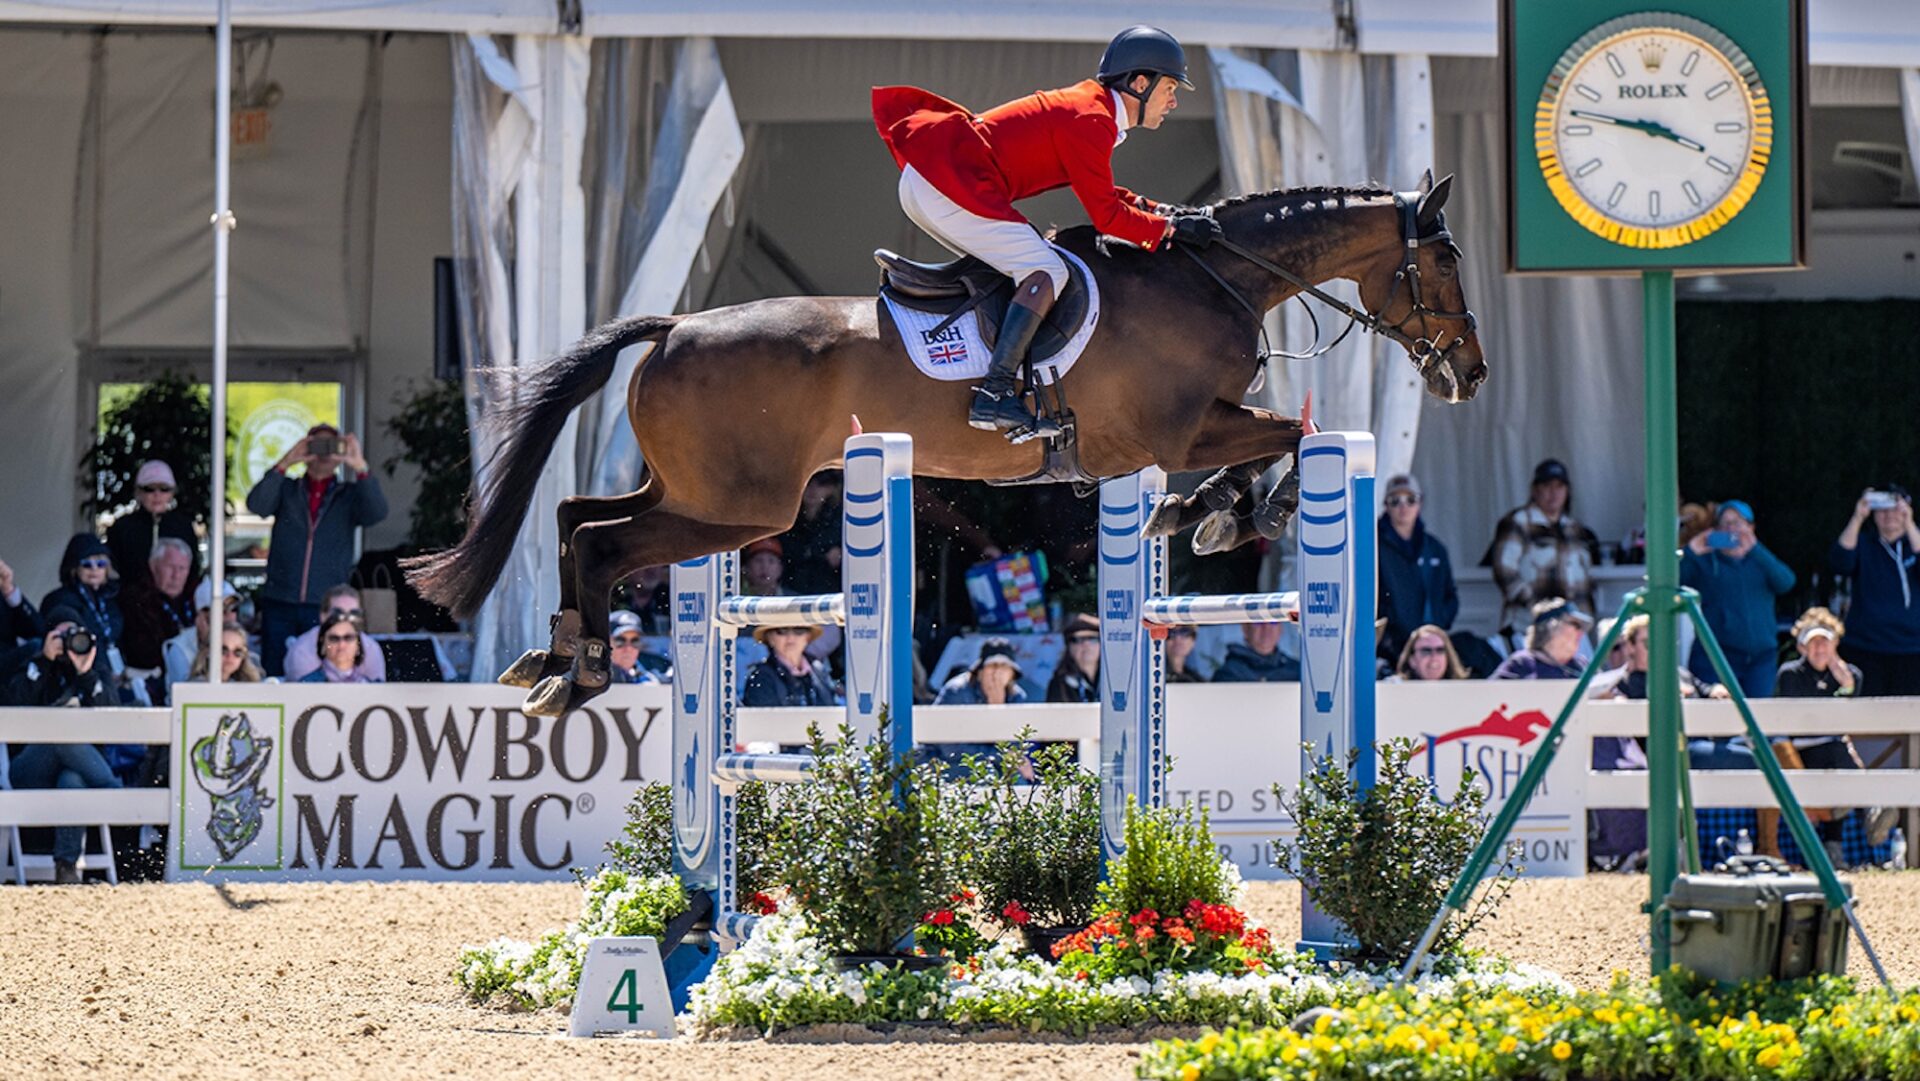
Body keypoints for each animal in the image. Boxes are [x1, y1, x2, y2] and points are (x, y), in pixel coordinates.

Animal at [406, 173, 1486, 716]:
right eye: (1441, 261)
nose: (1468, 376)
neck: (1207, 277)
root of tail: (673, 327)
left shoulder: (1177, 432)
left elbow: (1272, 438)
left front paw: (1203, 513)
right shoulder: (1176, 427)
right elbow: (1283, 435)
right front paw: (1225, 511)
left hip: (700, 494)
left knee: (572, 512)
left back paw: (547, 655)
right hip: (741, 508)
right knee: (600, 540)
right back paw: (579, 672)